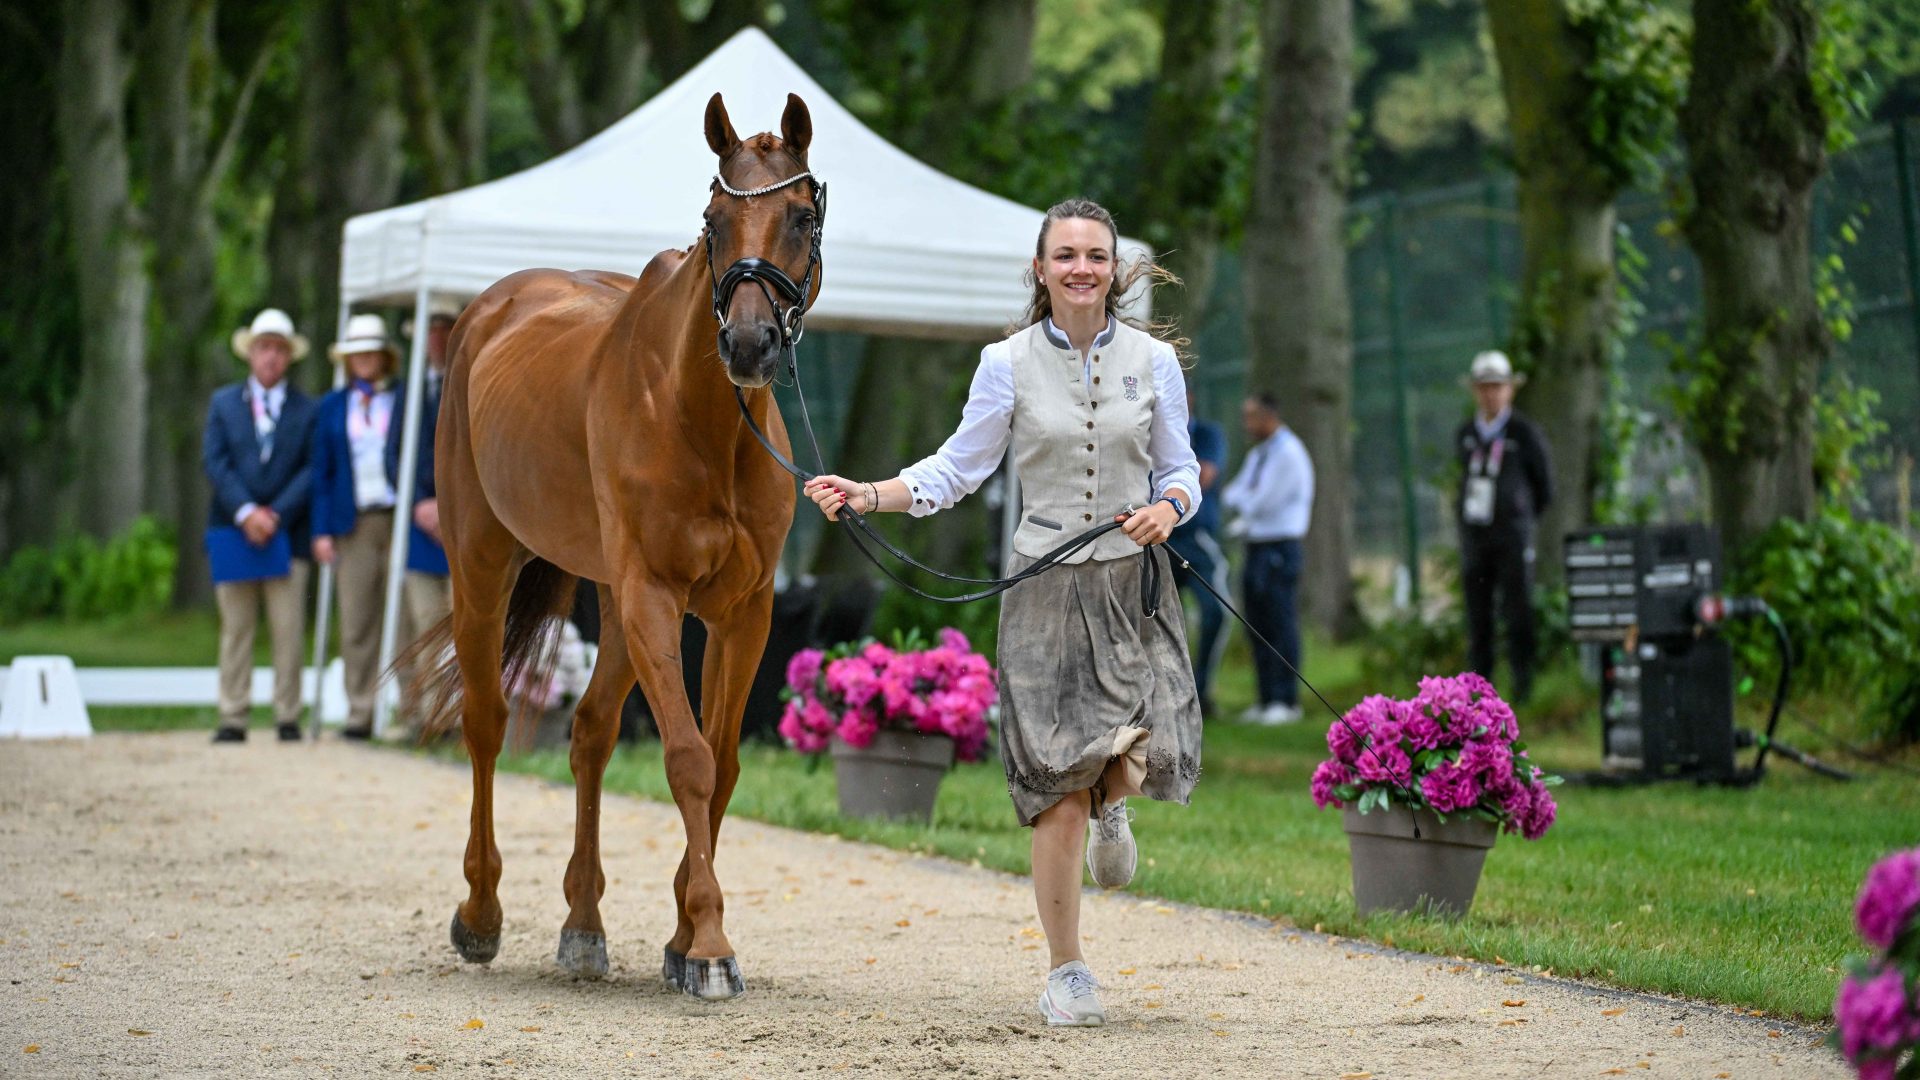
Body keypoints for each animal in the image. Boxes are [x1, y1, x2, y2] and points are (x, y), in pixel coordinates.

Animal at [410, 92, 819, 1001]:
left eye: (803, 217)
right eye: (711, 222)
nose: (748, 345)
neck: (702, 422)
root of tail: (490, 311)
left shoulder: (742, 614)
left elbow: (722, 765)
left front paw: (683, 934)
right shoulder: (653, 596)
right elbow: (688, 759)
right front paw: (708, 945)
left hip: (612, 604)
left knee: (591, 730)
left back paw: (584, 924)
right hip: (484, 567)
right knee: (487, 723)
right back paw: (481, 914)